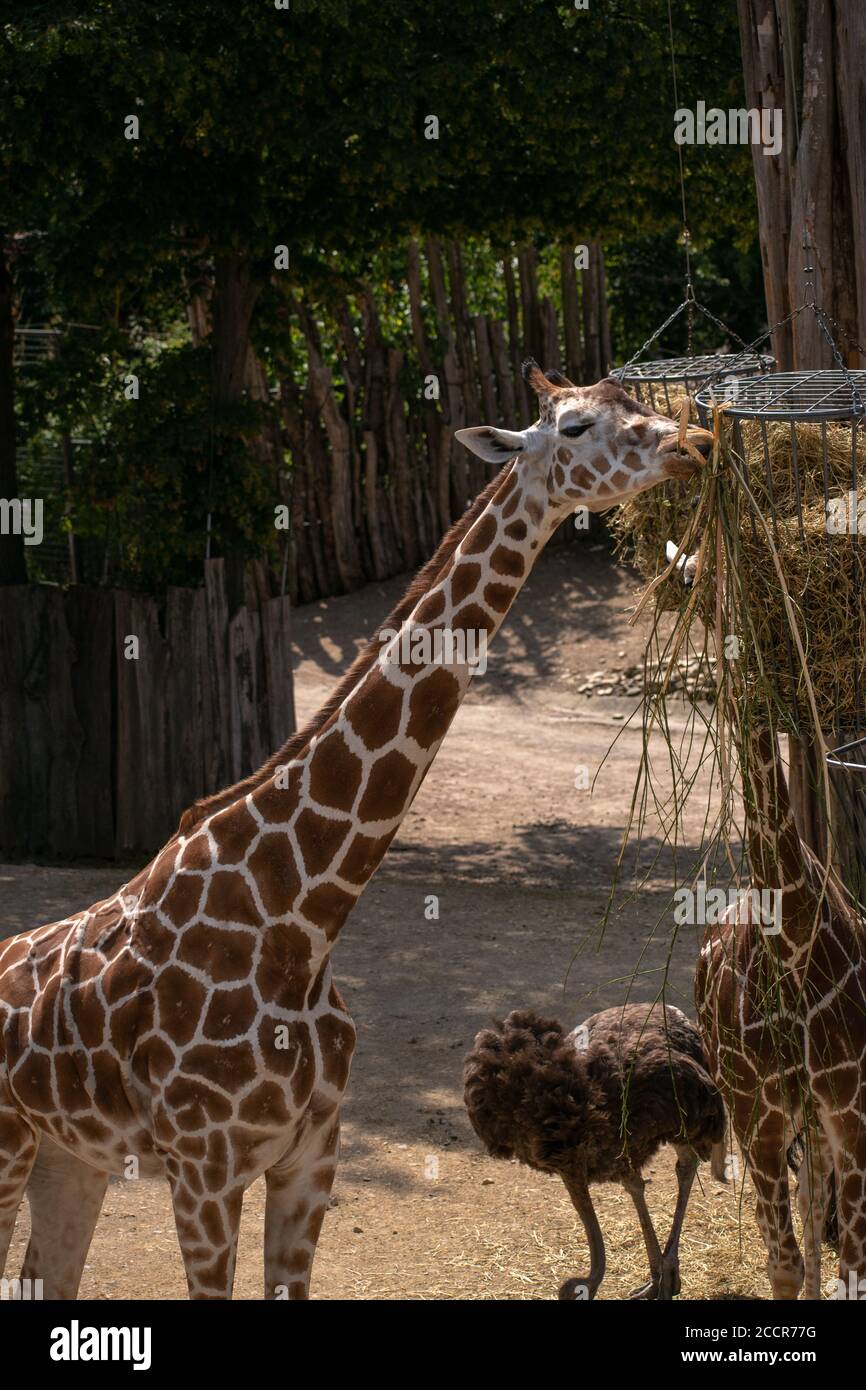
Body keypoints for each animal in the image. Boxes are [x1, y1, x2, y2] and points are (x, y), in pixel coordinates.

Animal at [0, 362, 712, 1301]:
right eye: (575, 425)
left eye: (636, 401)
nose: (698, 444)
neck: (300, 919)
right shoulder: (204, 1170)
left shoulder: (310, 1160)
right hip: (11, 1148)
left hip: (69, 1155)